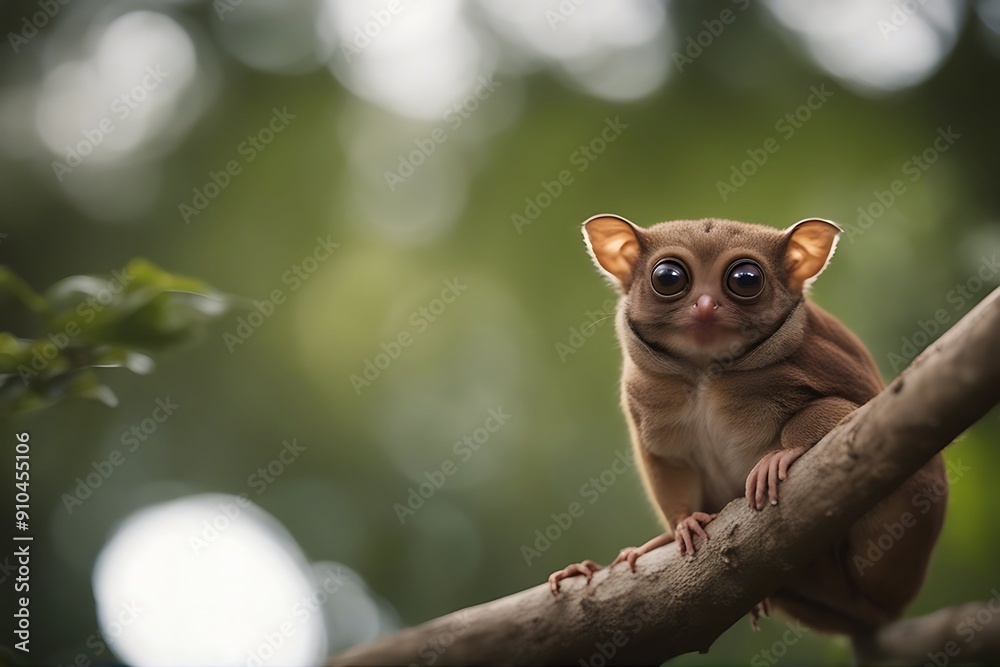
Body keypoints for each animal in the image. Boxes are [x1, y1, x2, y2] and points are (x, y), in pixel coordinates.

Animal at [548, 214, 947, 641]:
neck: (705, 370)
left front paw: (778, 458)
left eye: (745, 279)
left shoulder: (818, 359)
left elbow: (852, 409)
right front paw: (684, 522)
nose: (706, 305)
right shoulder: (642, 394)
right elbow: (666, 461)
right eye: (668, 277)